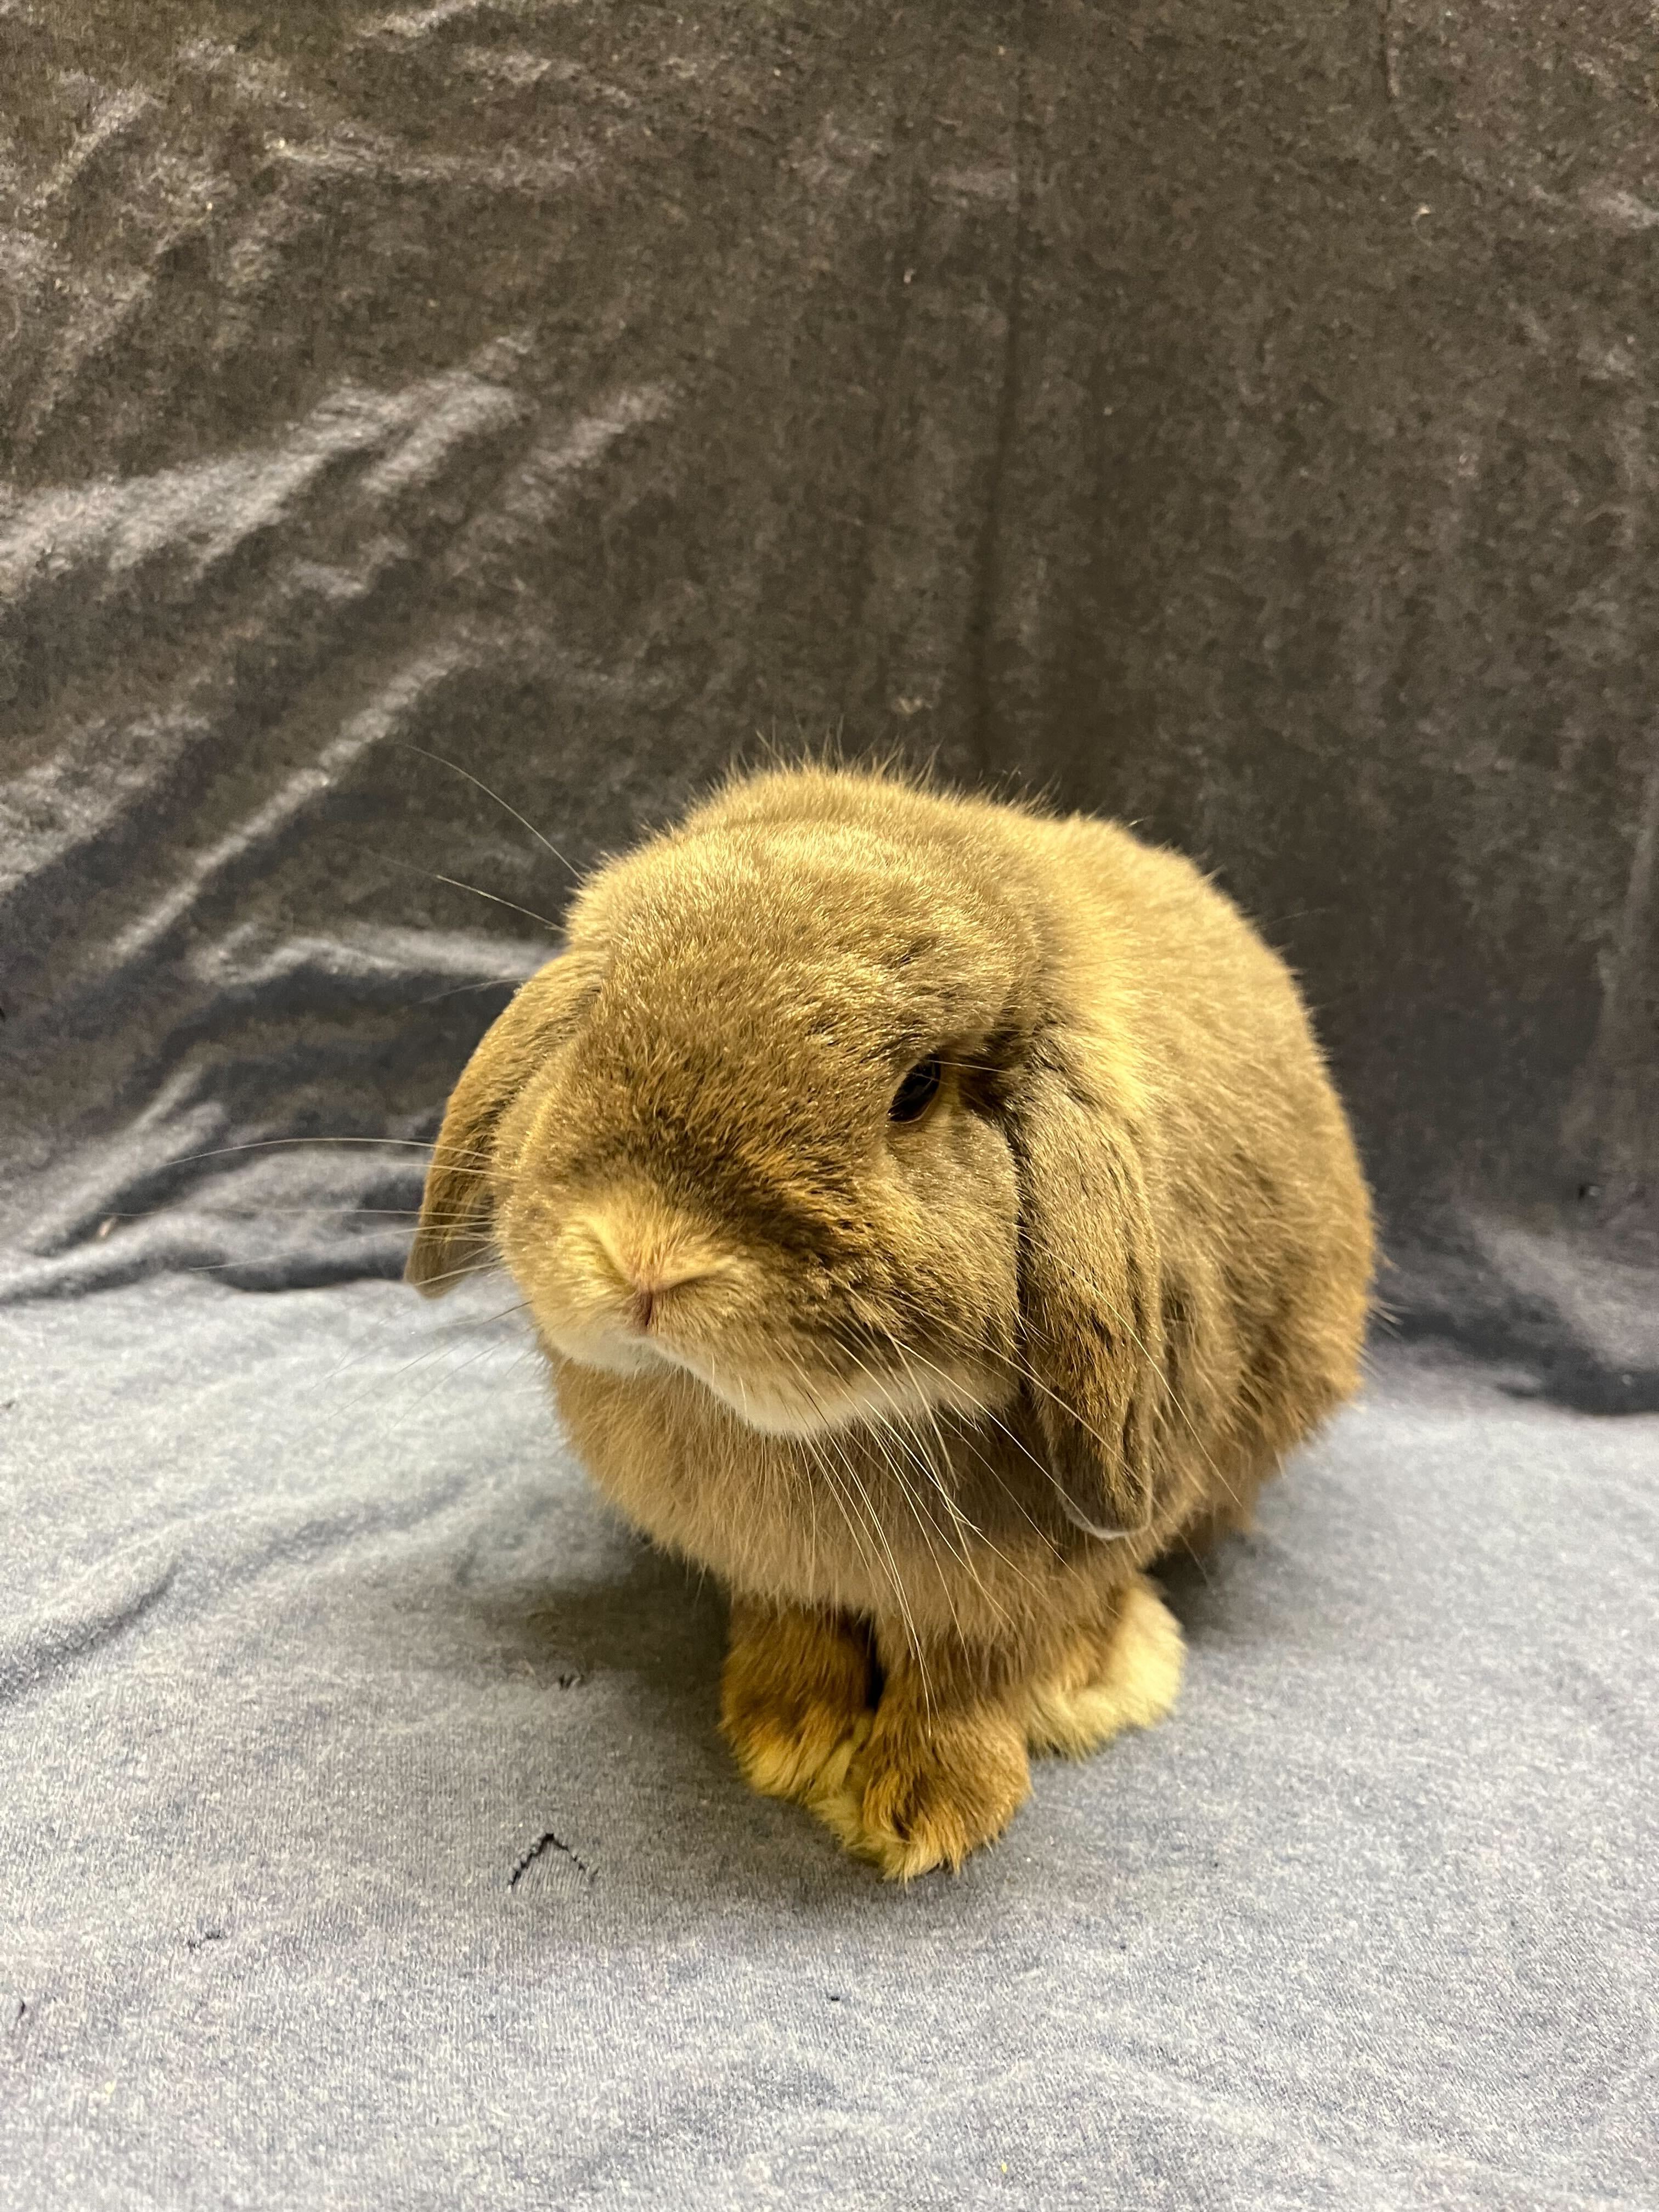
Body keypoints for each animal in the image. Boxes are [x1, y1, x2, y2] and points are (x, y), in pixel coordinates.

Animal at [408, 763, 1374, 1878]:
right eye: (602, 1008)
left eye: (916, 1090)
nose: (645, 1261)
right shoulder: (781, 1573)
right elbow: (797, 1620)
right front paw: (785, 1730)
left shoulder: (1005, 1593)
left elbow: (965, 1674)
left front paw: (928, 1807)